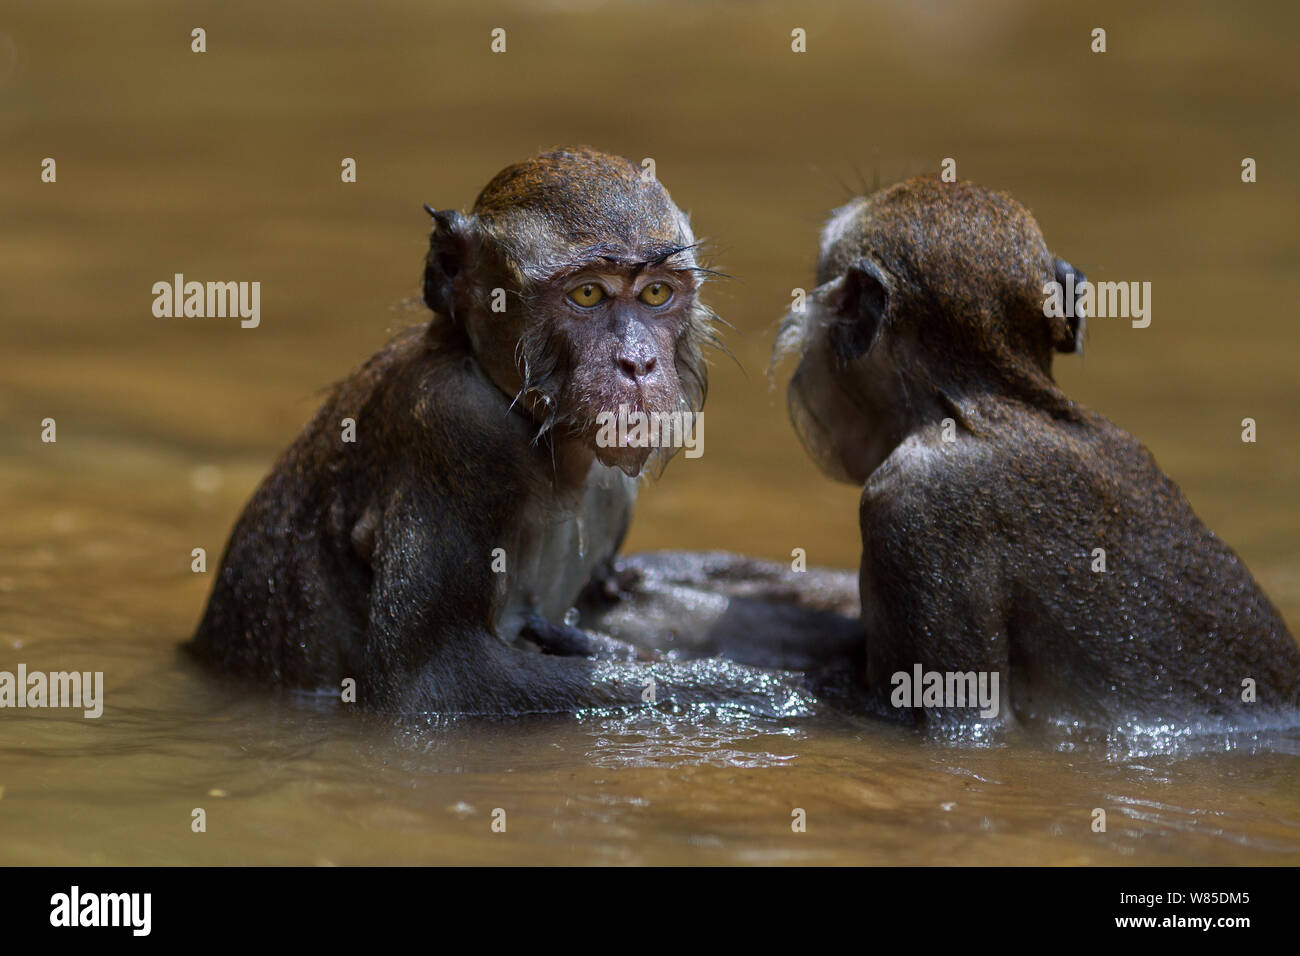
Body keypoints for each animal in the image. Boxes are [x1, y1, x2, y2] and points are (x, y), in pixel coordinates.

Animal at [187, 146, 810, 717]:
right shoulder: (457, 427)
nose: (637, 364)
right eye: (588, 293)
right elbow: (438, 683)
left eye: (656, 292)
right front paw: (783, 693)